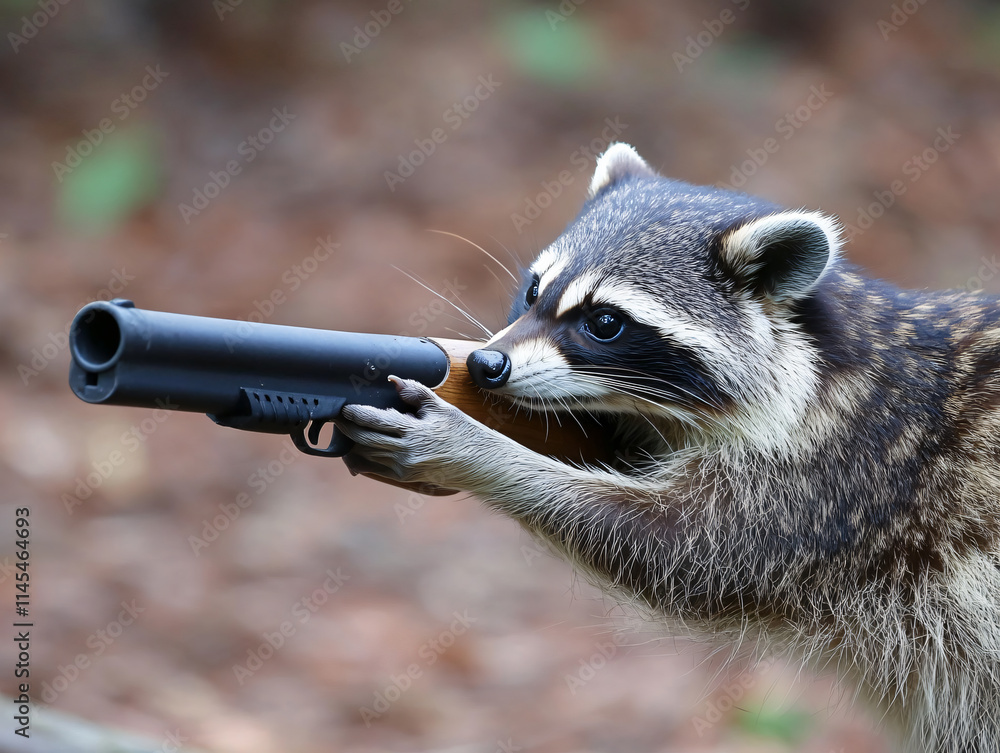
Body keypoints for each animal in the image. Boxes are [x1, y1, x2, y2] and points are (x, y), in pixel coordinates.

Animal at [336, 143, 1000, 753]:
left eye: (605, 322)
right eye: (533, 291)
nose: (484, 363)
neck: (817, 354)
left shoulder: (849, 466)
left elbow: (684, 551)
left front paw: (477, 451)